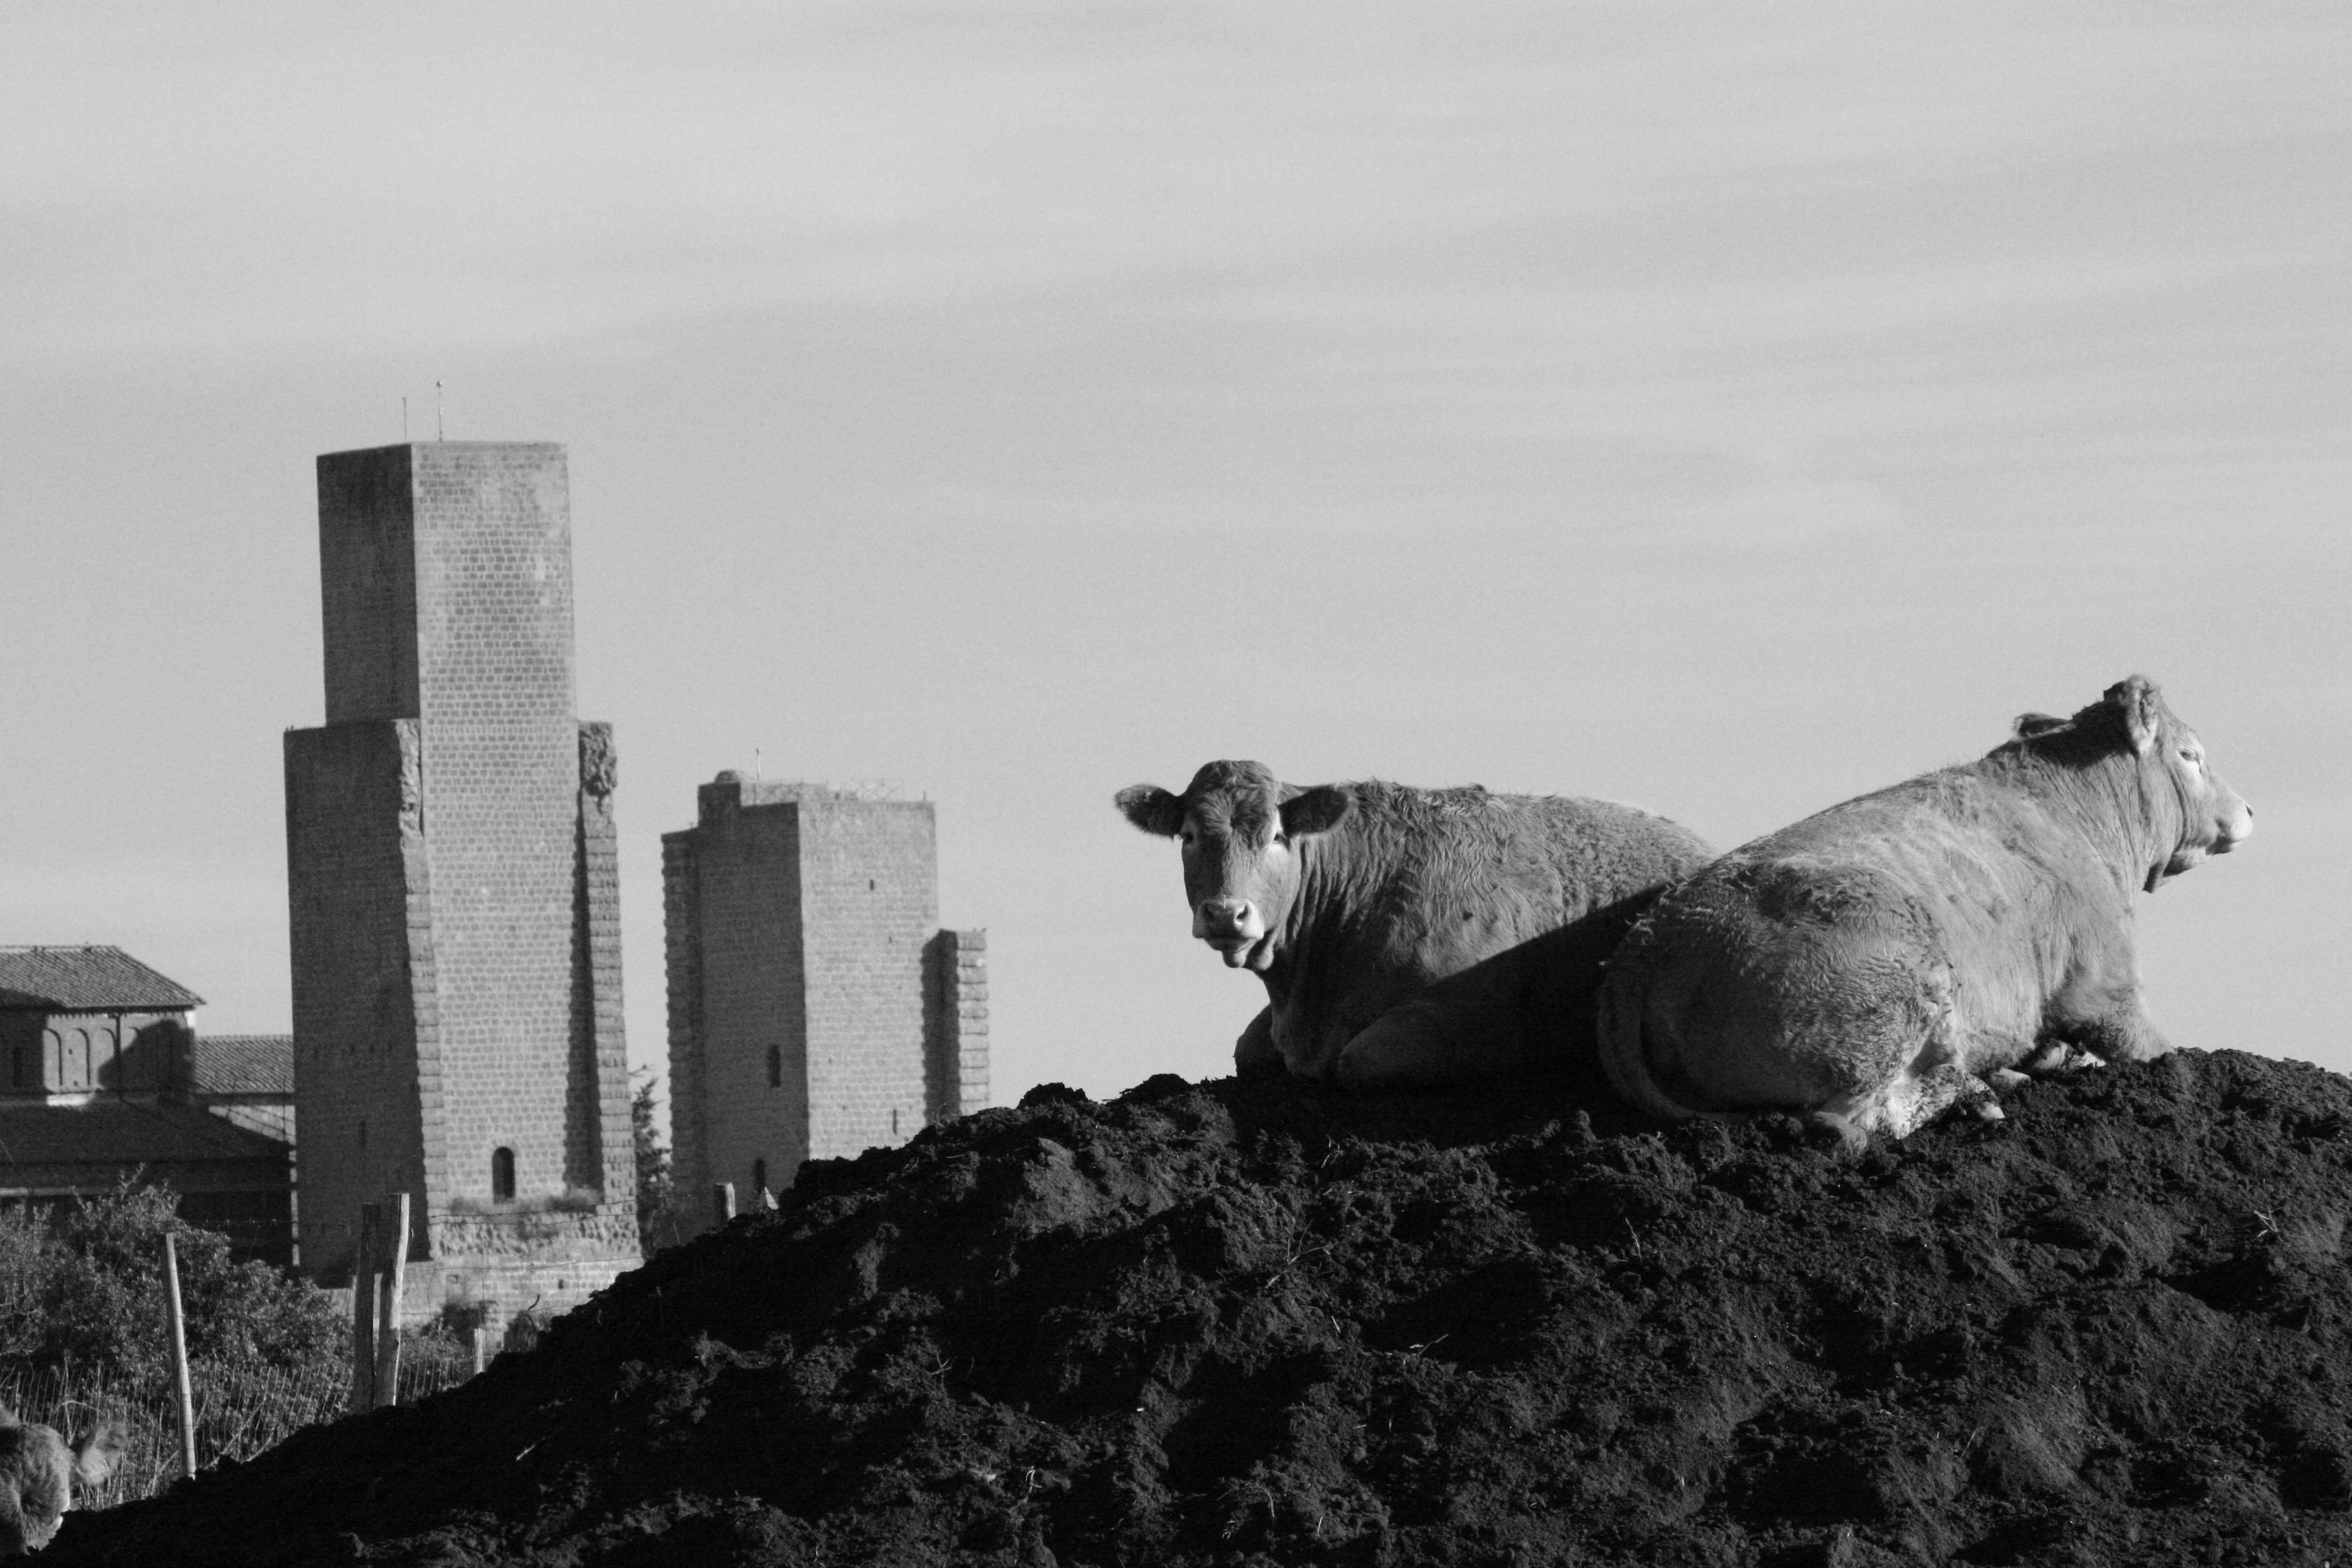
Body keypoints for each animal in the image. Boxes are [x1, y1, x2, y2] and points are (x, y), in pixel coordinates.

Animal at [1115, 761, 1715, 1085]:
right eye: (1189, 835)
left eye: (1277, 836)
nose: (1226, 912)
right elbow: (1248, 1048)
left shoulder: (1472, 1016)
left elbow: (1358, 1060)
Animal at [1596, 676, 2253, 1144]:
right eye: (2191, 755)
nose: (2247, 809)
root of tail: (1648, 943)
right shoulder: (2104, 986)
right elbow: (2162, 1052)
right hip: (1903, 992)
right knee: (1859, 1121)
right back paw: (1977, 1093)